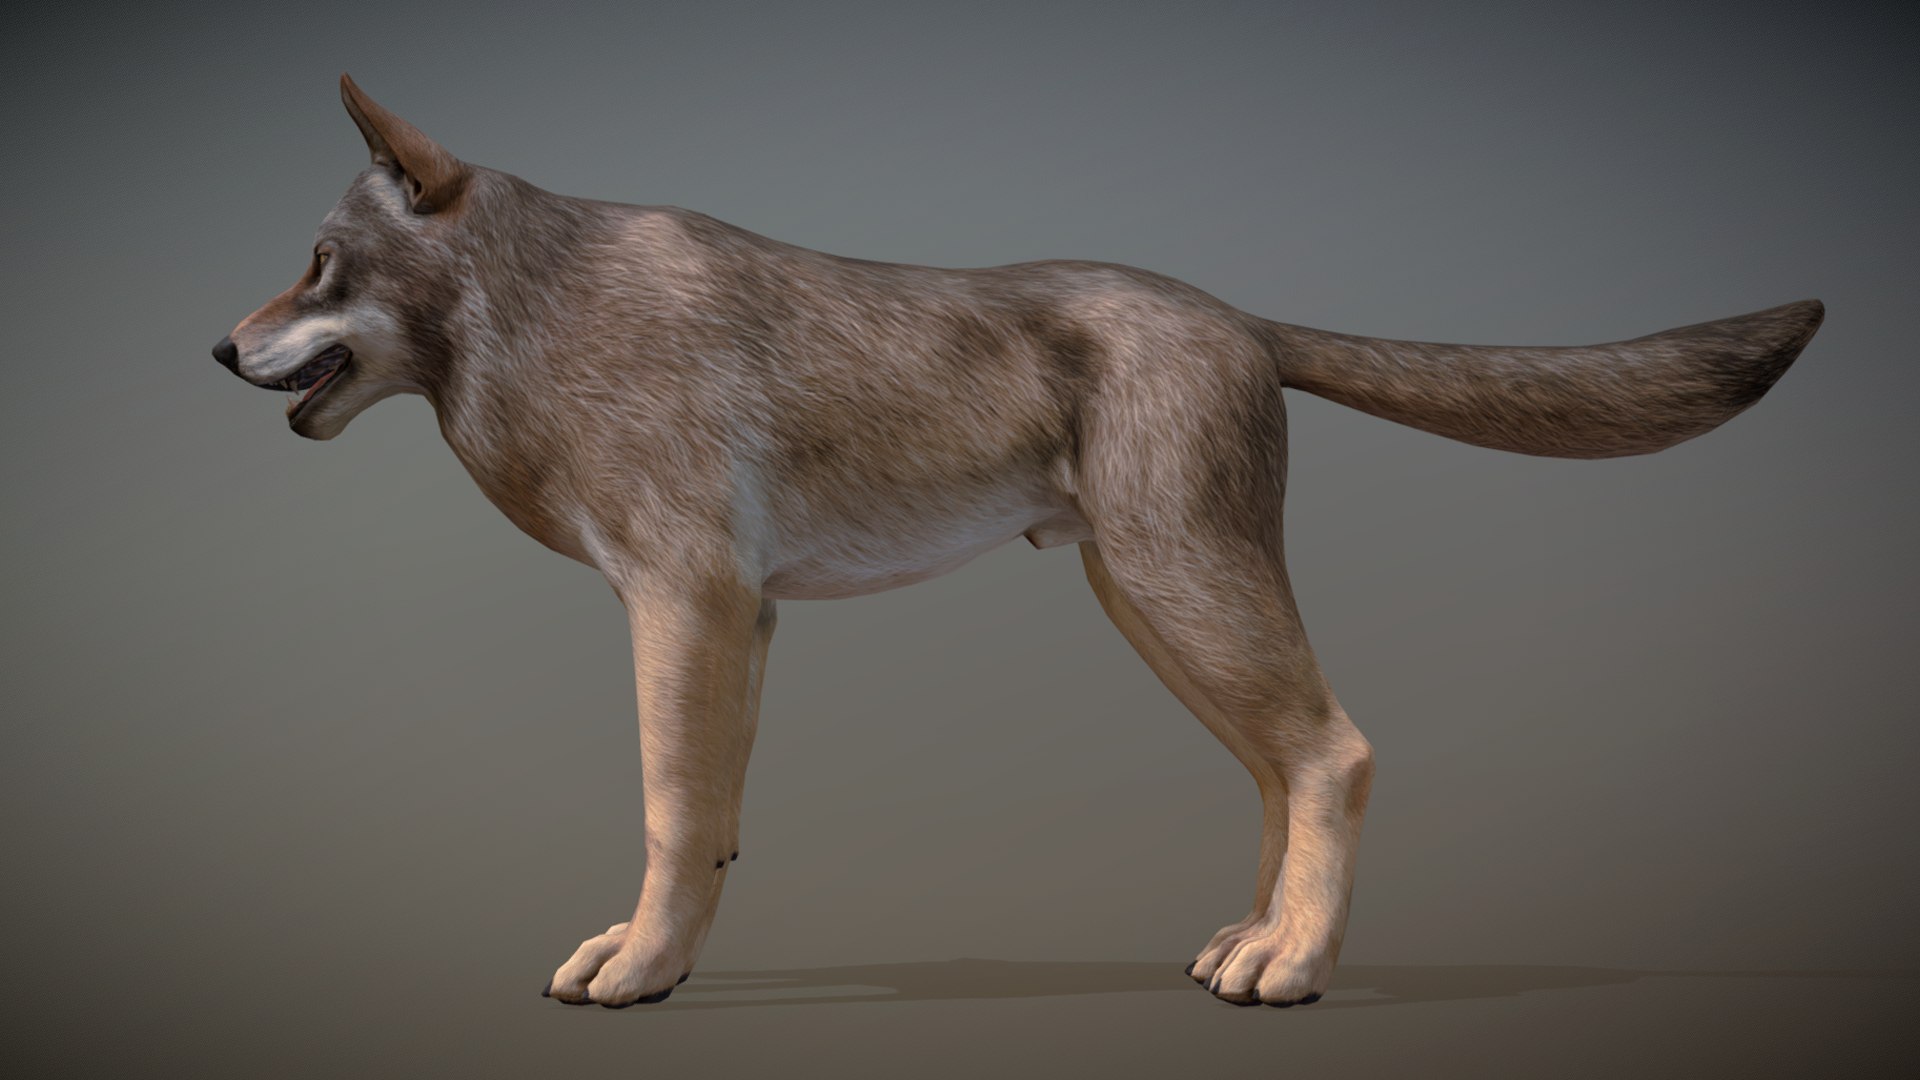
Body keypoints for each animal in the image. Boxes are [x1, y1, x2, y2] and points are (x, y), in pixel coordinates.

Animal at [214, 74, 1823, 1008]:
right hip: (1153, 600)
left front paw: (644, 968)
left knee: (1337, 752)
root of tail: (1239, 316)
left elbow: (672, 811)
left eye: (319, 265)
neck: (526, 307)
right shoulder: (735, 620)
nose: (217, 349)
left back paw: (1296, 966)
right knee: (1282, 770)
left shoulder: (686, 600)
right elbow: (715, 815)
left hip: (1181, 589)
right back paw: (1248, 942)